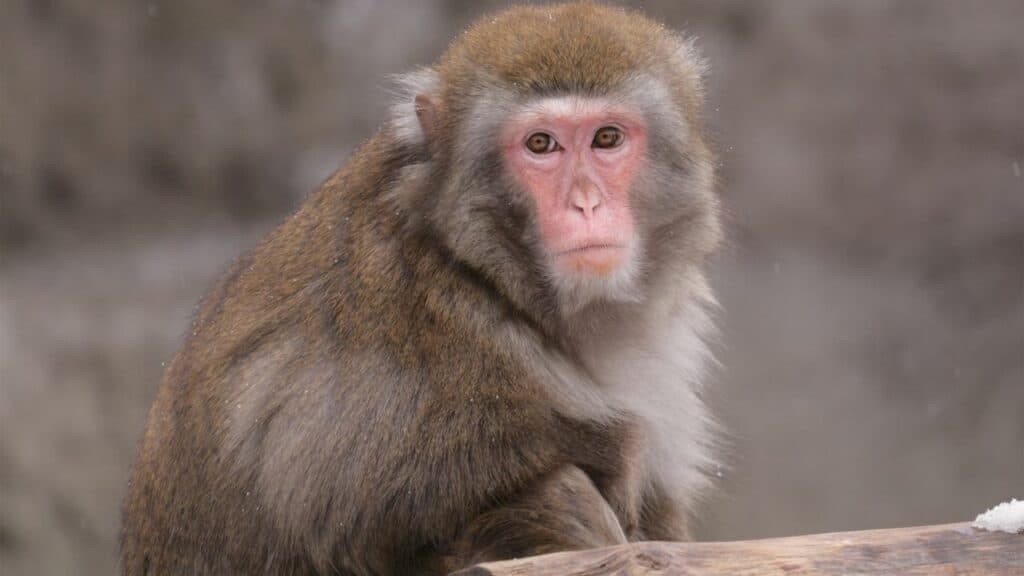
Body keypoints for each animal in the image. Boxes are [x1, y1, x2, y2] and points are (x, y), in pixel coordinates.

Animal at [121, 3, 723, 574]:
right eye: (541, 144)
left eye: (606, 138)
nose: (586, 204)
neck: (489, 274)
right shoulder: (409, 340)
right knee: (558, 495)